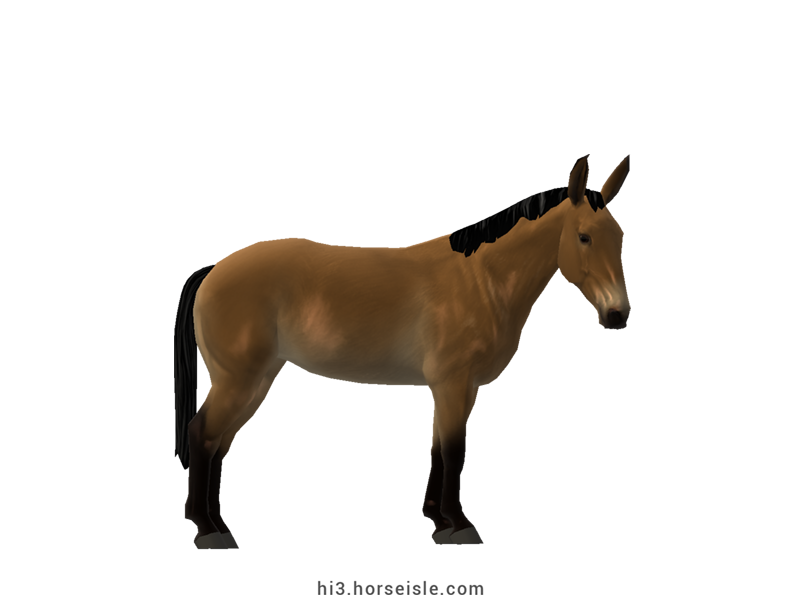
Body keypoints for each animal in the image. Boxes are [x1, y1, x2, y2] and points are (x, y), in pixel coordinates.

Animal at [176, 157, 630, 543]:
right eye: (584, 236)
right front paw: (460, 524)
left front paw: (437, 519)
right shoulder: (453, 382)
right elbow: (454, 449)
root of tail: (213, 271)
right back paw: (208, 529)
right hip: (236, 380)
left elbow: (439, 448)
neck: (482, 280)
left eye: (620, 236)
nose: (616, 313)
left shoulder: (446, 385)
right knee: (202, 435)